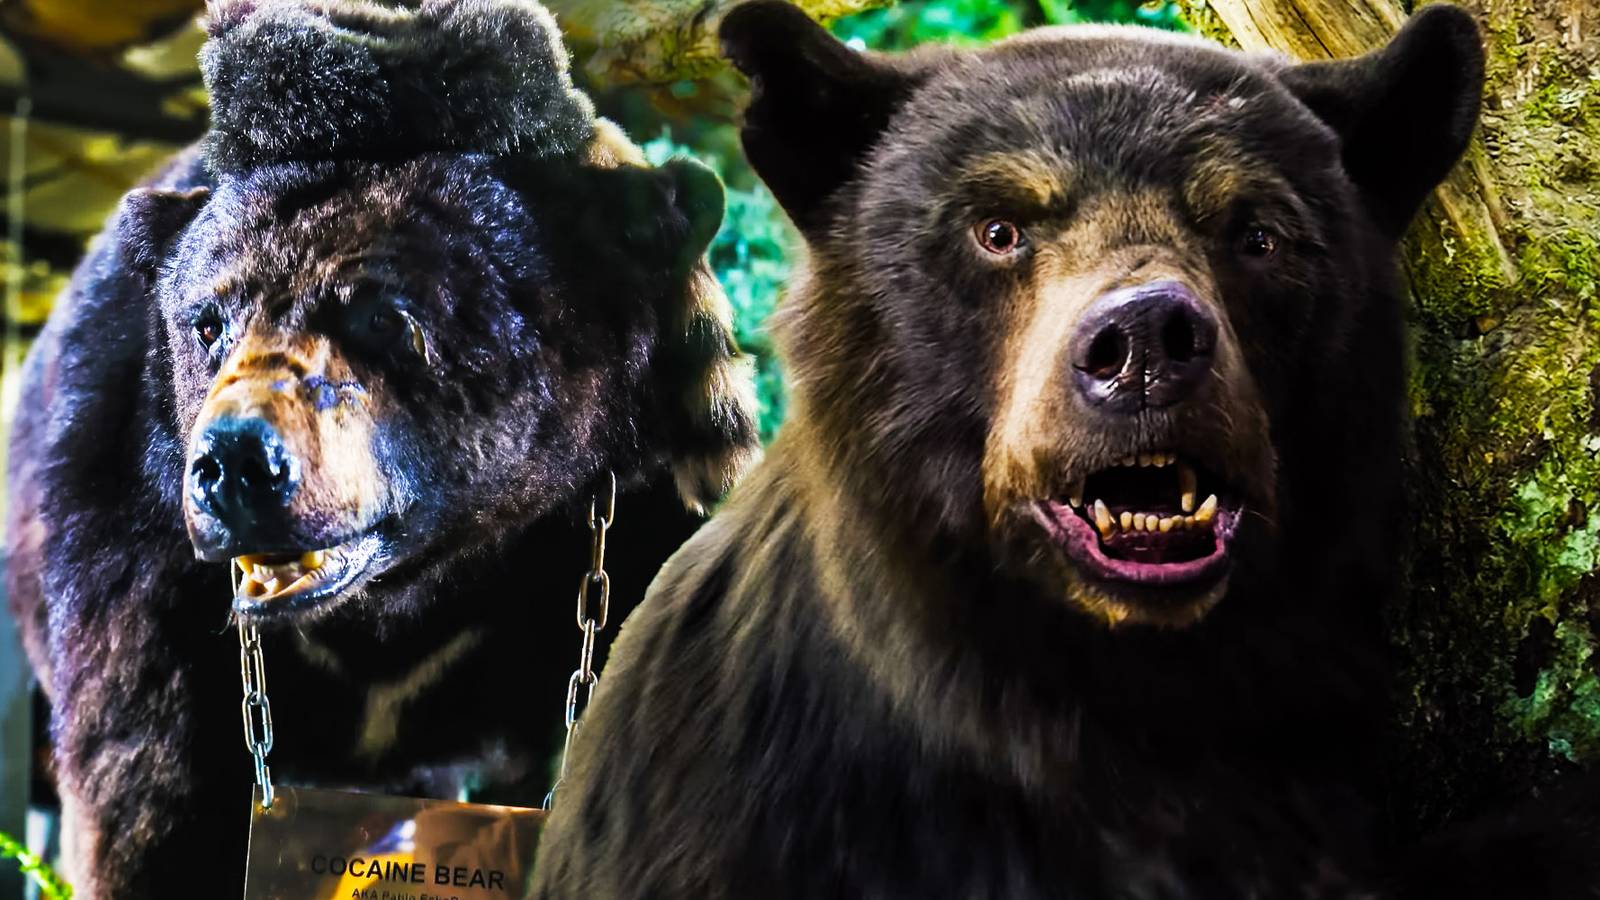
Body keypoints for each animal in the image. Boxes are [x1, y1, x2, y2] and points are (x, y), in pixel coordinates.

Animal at [3, 0, 758, 896]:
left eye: (385, 316)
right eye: (207, 321)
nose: (235, 465)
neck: (404, 599)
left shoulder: (638, 534)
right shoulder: (129, 560)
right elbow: (148, 803)